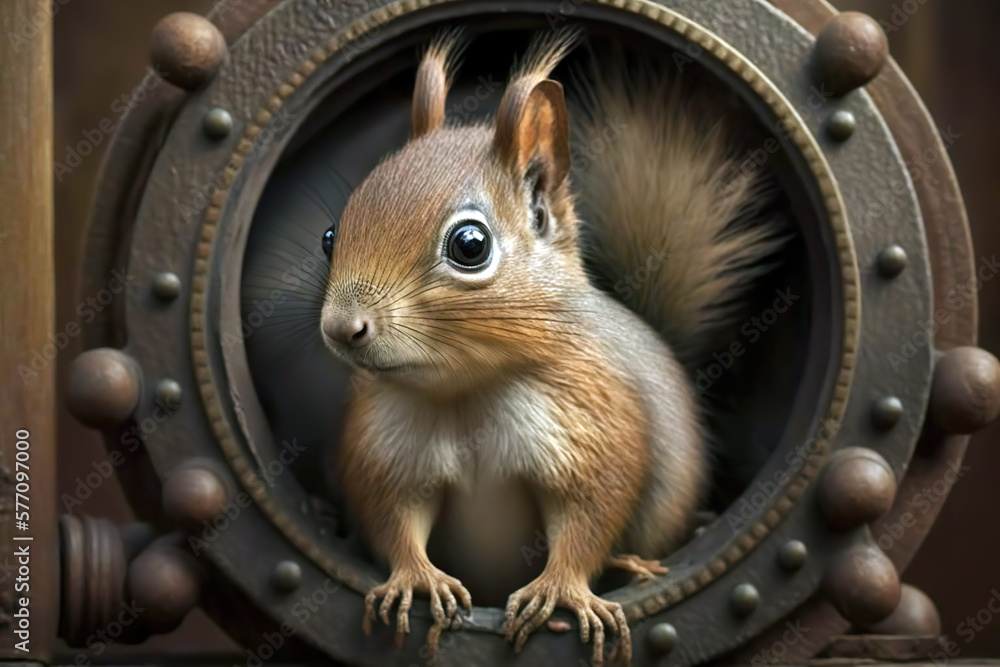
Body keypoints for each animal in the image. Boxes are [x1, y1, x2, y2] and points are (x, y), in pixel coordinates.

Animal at [319, 30, 780, 666]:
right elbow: (392, 512)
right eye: (330, 235)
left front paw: (563, 590)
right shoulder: (388, 445)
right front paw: (416, 579)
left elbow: (590, 512)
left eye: (470, 245)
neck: (468, 391)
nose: (342, 328)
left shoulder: (592, 426)